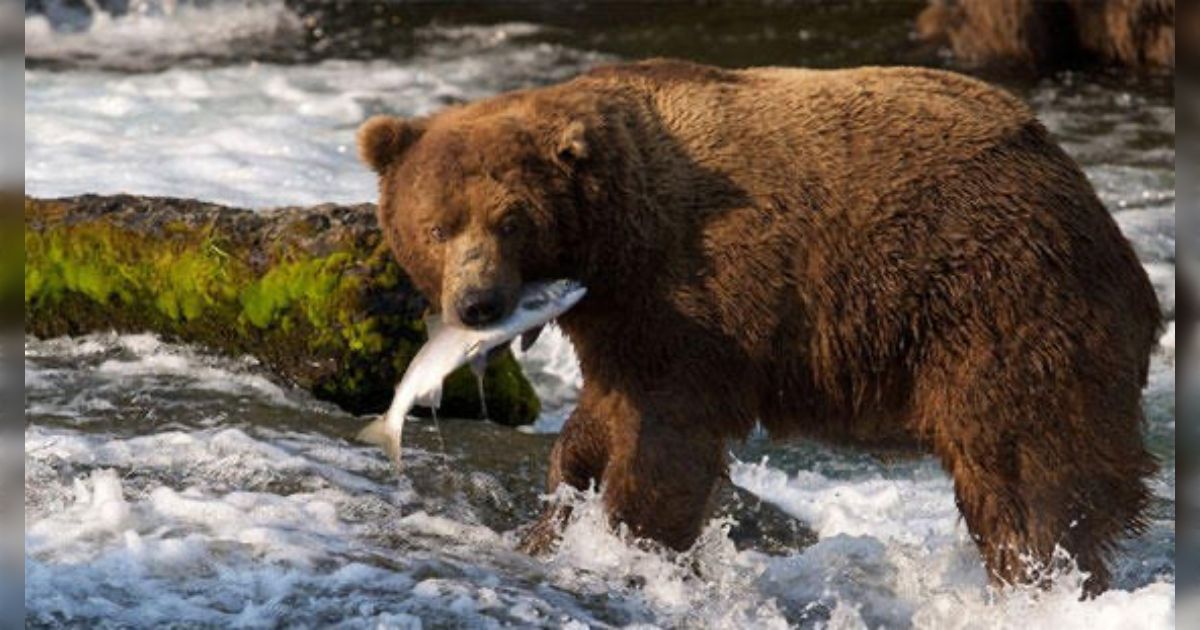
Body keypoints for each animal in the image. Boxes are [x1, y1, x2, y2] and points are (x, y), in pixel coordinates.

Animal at [356, 59, 1161, 596]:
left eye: (511, 221)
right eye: (438, 224)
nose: (477, 305)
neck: (615, 240)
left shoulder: (695, 296)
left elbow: (666, 437)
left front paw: (627, 544)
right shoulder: (621, 320)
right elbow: (599, 418)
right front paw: (550, 523)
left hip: (999, 307)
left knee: (1028, 468)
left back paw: (1042, 576)